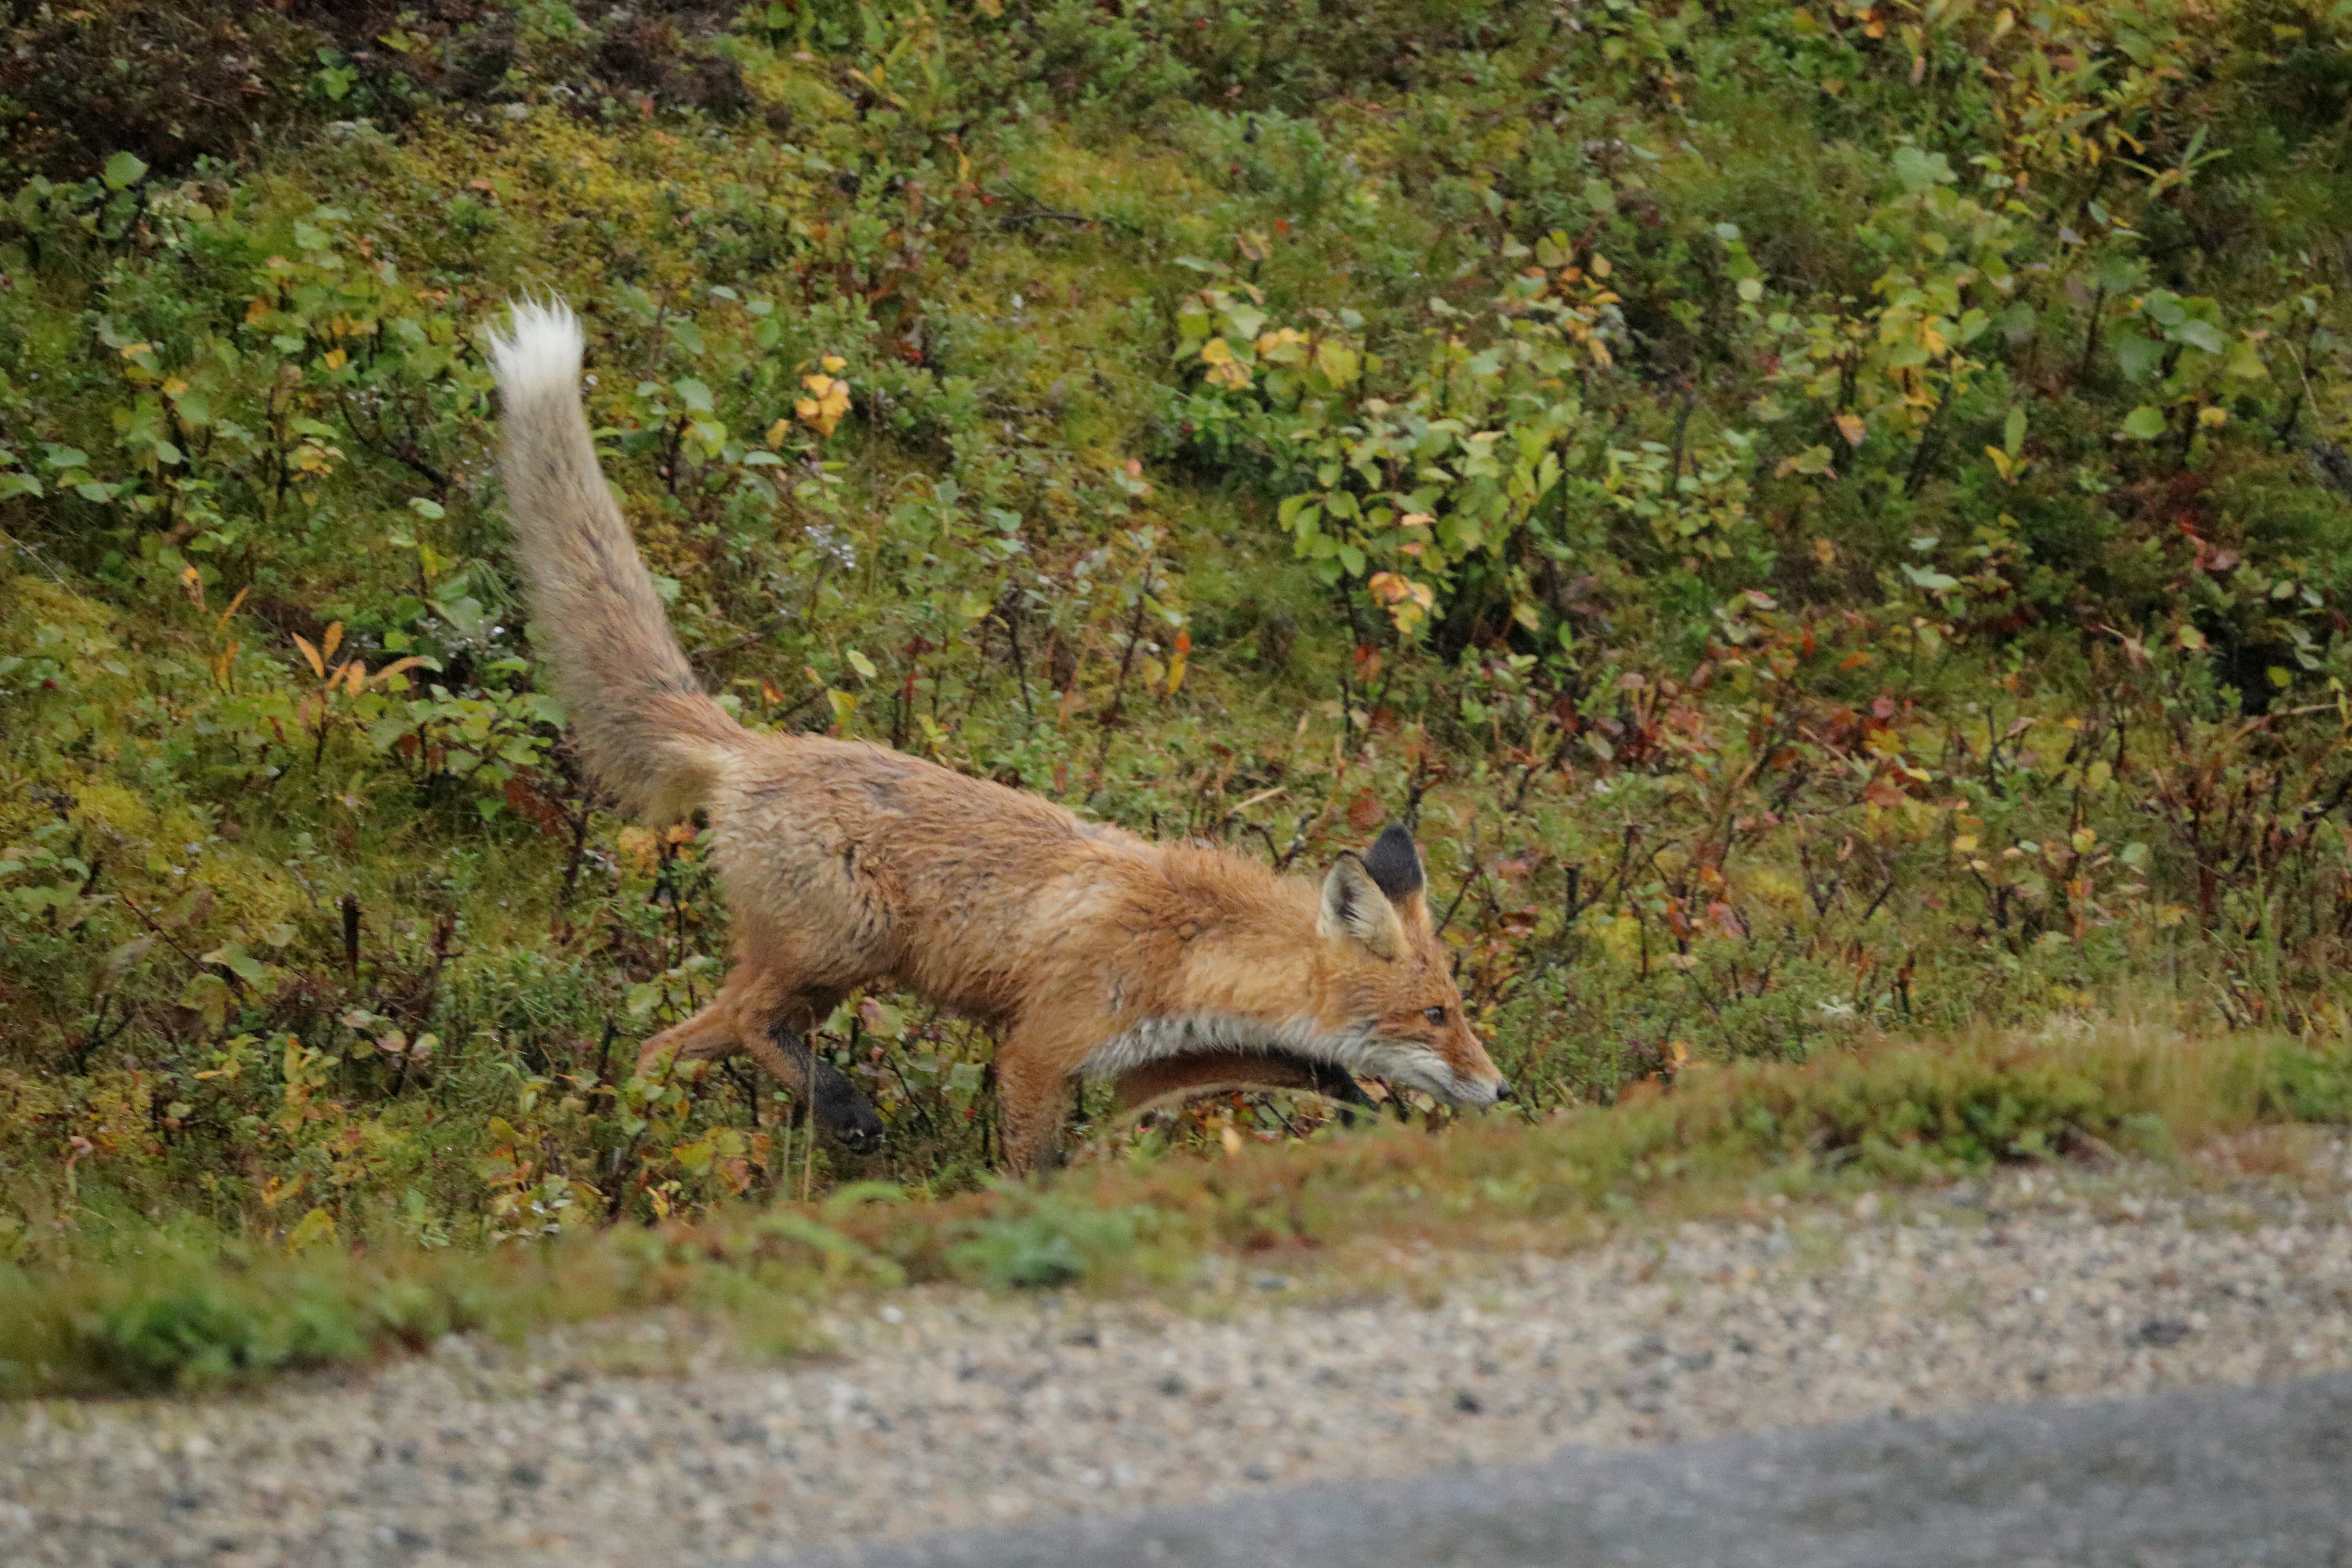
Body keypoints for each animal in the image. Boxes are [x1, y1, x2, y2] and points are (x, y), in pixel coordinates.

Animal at [485, 301, 1511, 1171]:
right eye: (1436, 1013)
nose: (1501, 1090)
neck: (1190, 948)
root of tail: (758, 747)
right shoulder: (1038, 1048)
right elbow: (1036, 1164)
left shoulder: (1158, 1057)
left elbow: (1306, 1070)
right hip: (842, 949)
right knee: (745, 1021)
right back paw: (840, 1110)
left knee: (663, 1045)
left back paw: (627, 1145)